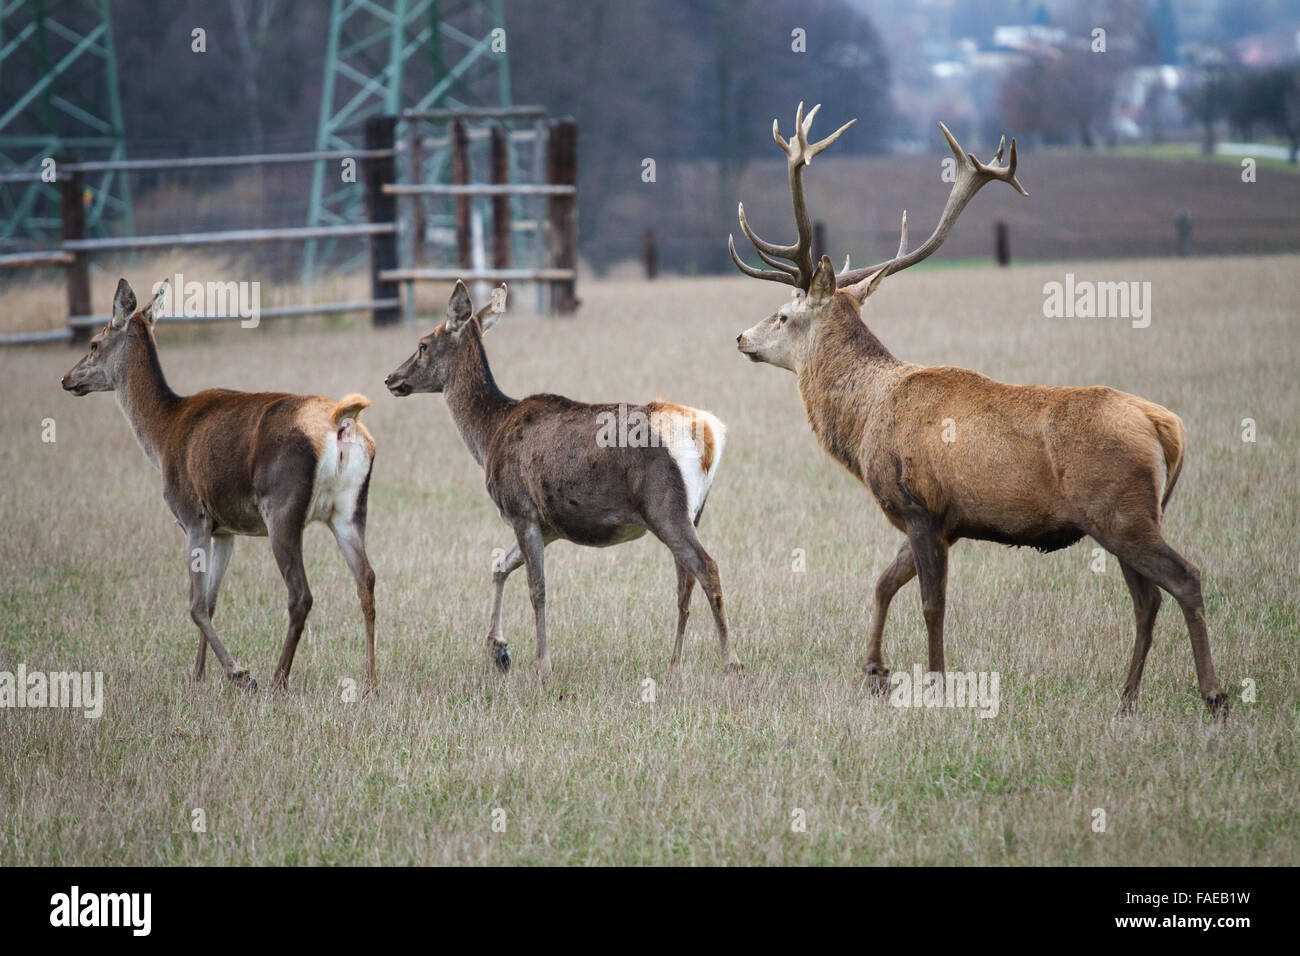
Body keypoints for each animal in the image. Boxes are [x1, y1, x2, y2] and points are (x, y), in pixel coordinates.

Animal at [61, 278, 378, 694]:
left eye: (94, 342)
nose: (66, 378)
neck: (162, 434)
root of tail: (342, 420)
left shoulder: (192, 514)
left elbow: (195, 604)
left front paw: (239, 673)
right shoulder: (226, 528)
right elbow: (210, 601)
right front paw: (197, 677)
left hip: (283, 507)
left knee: (301, 594)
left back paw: (276, 681)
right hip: (349, 509)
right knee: (366, 580)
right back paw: (370, 682)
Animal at [384, 280, 742, 679]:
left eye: (422, 344)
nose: (391, 378)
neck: (489, 435)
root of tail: (710, 433)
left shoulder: (520, 509)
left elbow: (537, 588)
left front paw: (542, 665)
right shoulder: (549, 523)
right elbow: (499, 565)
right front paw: (499, 650)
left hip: (665, 507)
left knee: (707, 567)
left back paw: (731, 661)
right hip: (694, 510)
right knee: (685, 580)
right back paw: (673, 664)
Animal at [730, 104, 1228, 718]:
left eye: (782, 314)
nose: (741, 337)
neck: (866, 422)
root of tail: (1167, 426)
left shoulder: (918, 504)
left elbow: (931, 604)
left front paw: (936, 686)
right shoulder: (940, 520)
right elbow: (882, 582)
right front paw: (874, 671)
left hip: (1121, 510)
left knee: (1184, 579)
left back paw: (1213, 694)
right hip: (1131, 515)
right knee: (1147, 600)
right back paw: (1126, 699)